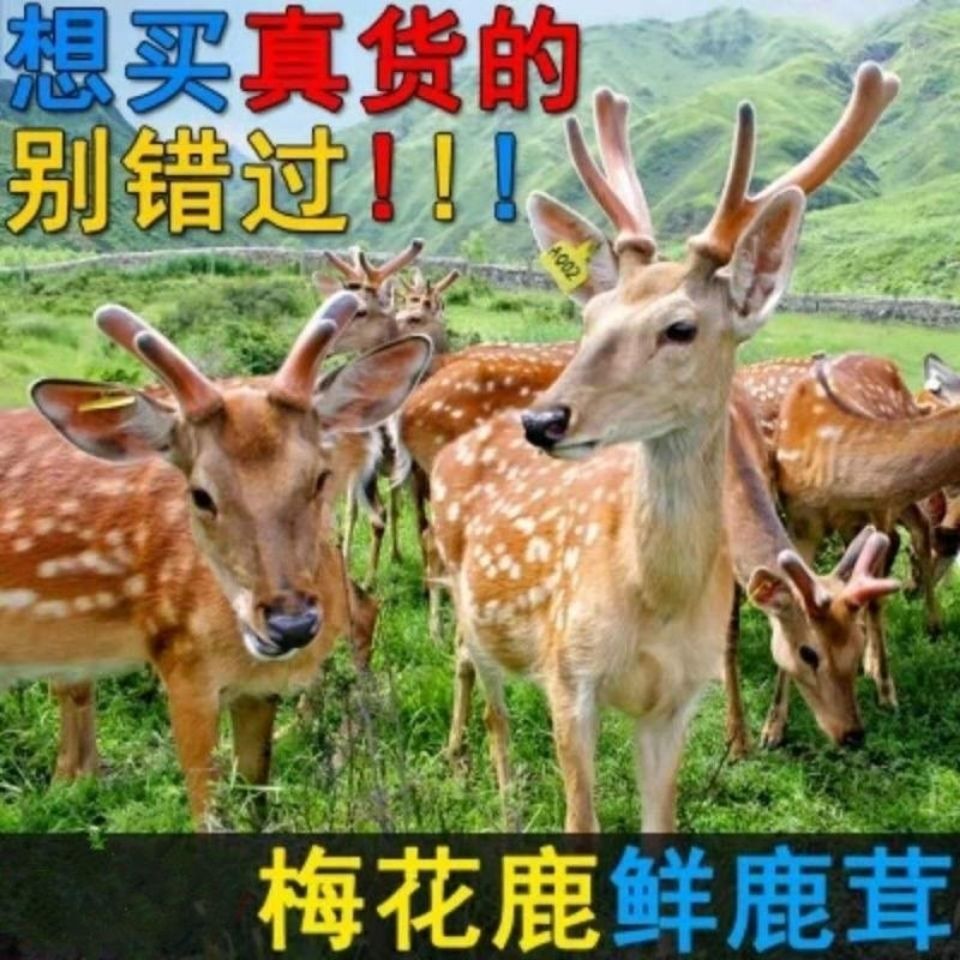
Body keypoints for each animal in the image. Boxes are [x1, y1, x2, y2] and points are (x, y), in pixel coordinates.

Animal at [1, 292, 432, 825]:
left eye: (317, 477)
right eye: (202, 494)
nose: (290, 624)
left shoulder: (198, 665)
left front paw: (71, 780)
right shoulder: (196, 669)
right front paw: (74, 782)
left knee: (363, 607)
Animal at [430, 63, 899, 831]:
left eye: (681, 328)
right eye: (590, 316)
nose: (543, 419)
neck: (654, 599)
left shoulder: (675, 701)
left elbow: (662, 824)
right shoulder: (569, 675)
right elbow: (580, 825)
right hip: (463, 597)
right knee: (485, 695)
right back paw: (491, 790)